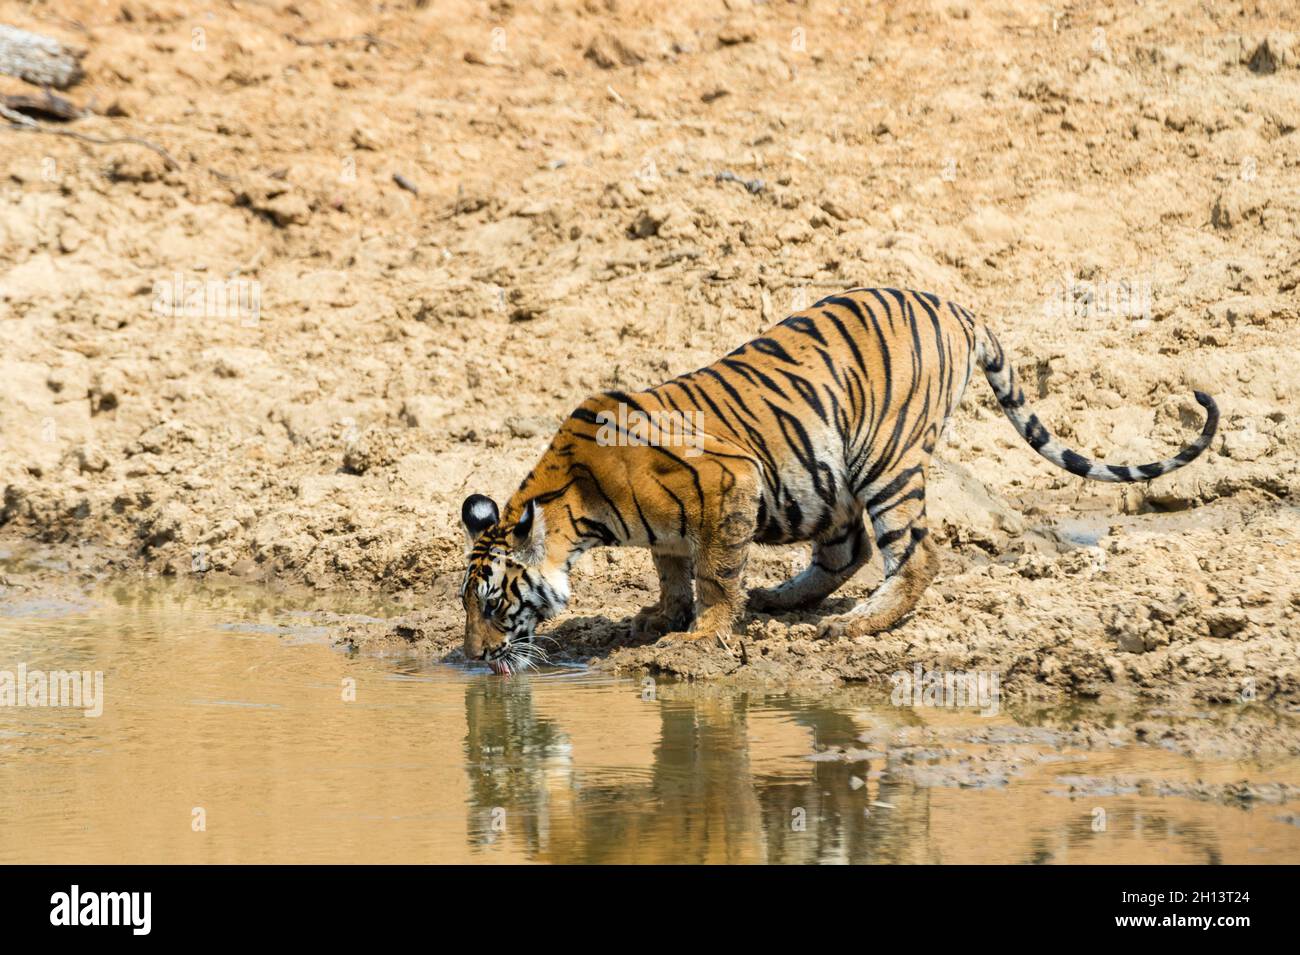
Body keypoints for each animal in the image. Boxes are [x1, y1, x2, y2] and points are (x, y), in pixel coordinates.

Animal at [459, 287, 1218, 674]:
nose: (473, 659)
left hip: (886, 458)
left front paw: (700, 635)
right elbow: (674, 569)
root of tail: (956, 304)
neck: (578, 504)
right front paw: (660, 615)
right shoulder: (676, 524)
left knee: (916, 555)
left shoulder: (730, 482)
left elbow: (716, 574)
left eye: (494, 604)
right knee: (846, 550)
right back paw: (781, 599)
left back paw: (858, 624)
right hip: (827, 475)